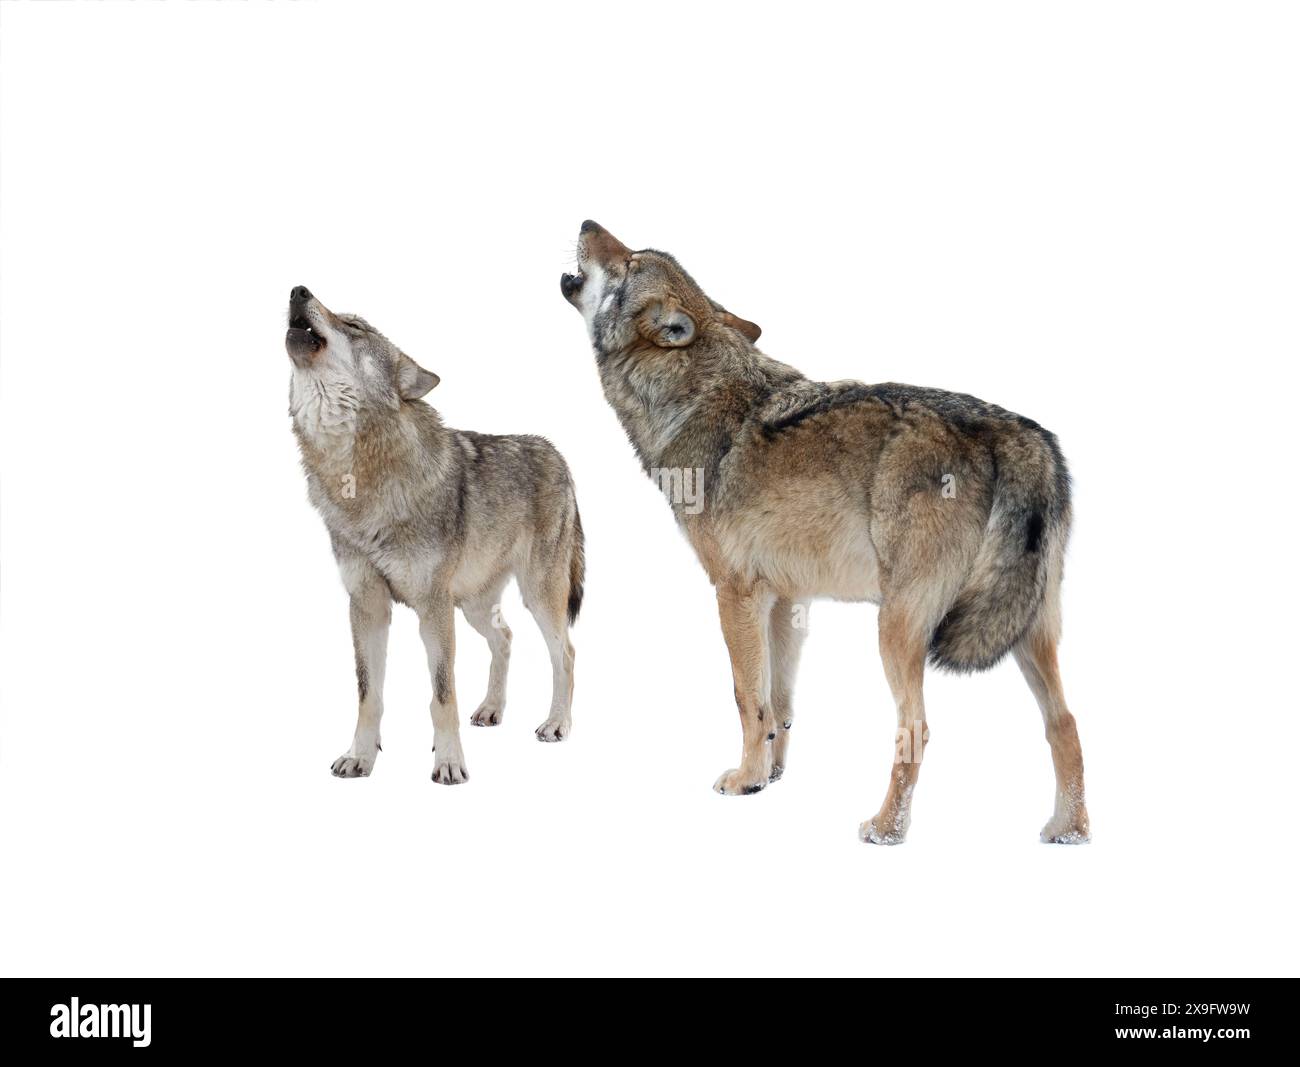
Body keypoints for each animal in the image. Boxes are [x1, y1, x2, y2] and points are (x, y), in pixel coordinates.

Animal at [285, 286, 583, 783]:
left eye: (355, 326)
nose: (297, 290)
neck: (358, 477)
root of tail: (557, 454)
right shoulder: (366, 605)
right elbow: (368, 693)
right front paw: (360, 756)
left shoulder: (432, 607)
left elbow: (442, 695)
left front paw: (449, 762)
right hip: (473, 605)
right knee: (506, 638)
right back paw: (492, 709)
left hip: (536, 596)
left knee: (566, 654)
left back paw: (557, 723)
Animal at [561, 222, 1088, 844]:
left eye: (629, 261)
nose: (588, 222)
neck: (691, 398)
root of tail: (1024, 435)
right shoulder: (786, 599)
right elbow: (779, 704)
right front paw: (770, 776)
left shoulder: (734, 592)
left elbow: (747, 698)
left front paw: (744, 781)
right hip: (1026, 629)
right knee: (1065, 724)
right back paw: (1071, 830)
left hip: (899, 628)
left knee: (918, 728)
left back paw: (885, 829)